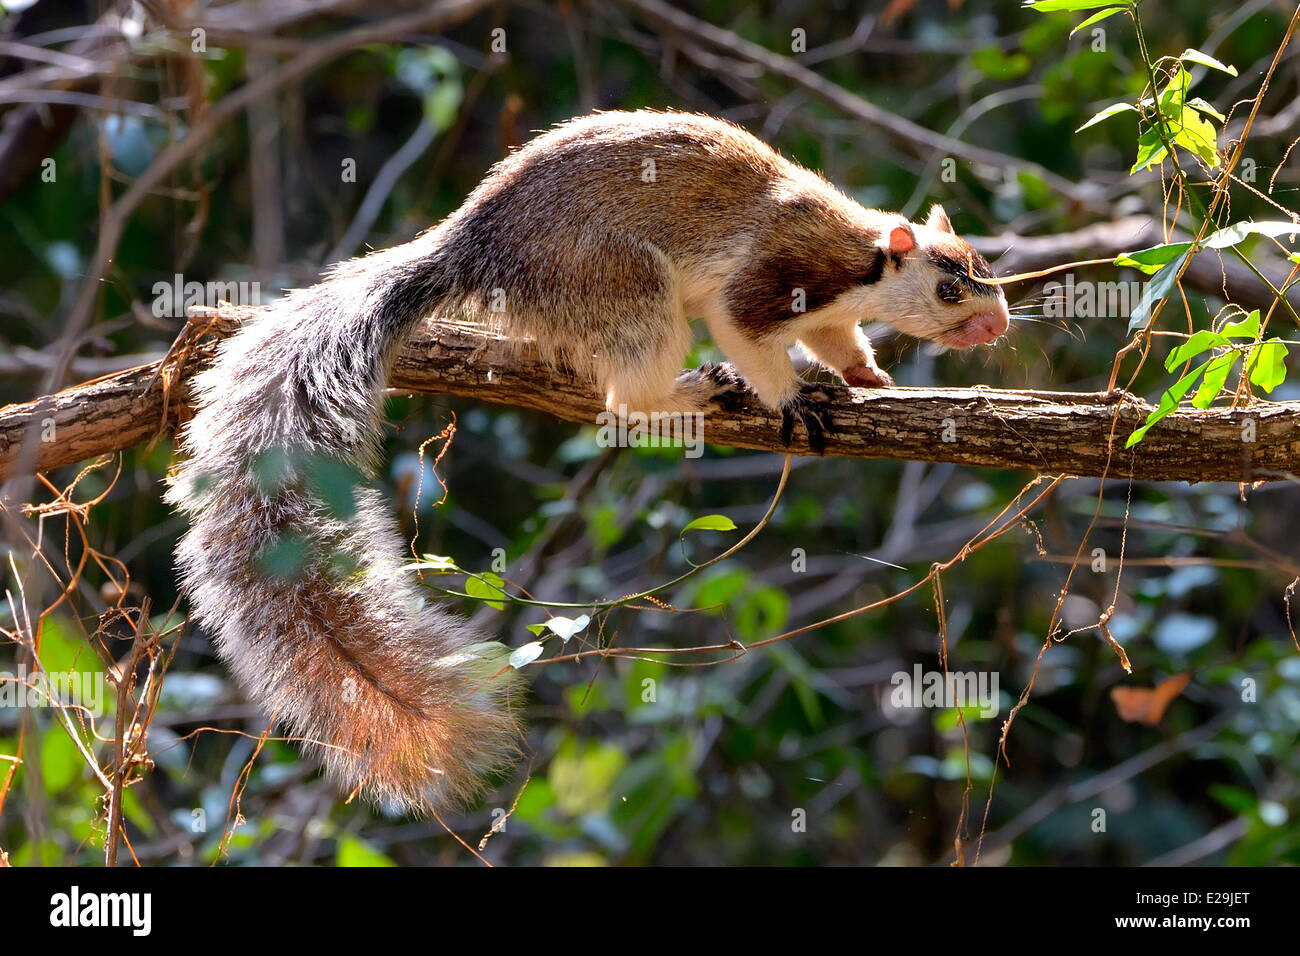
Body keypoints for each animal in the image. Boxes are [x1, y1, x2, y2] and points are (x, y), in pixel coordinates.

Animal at [167, 109, 1009, 815]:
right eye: (948, 285)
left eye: (985, 264)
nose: (1000, 325)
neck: (860, 259)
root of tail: (473, 247)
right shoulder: (777, 278)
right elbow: (748, 329)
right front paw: (793, 396)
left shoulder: (831, 314)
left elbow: (840, 342)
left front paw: (868, 374)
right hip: (621, 285)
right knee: (625, 398)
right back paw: (692, 391)